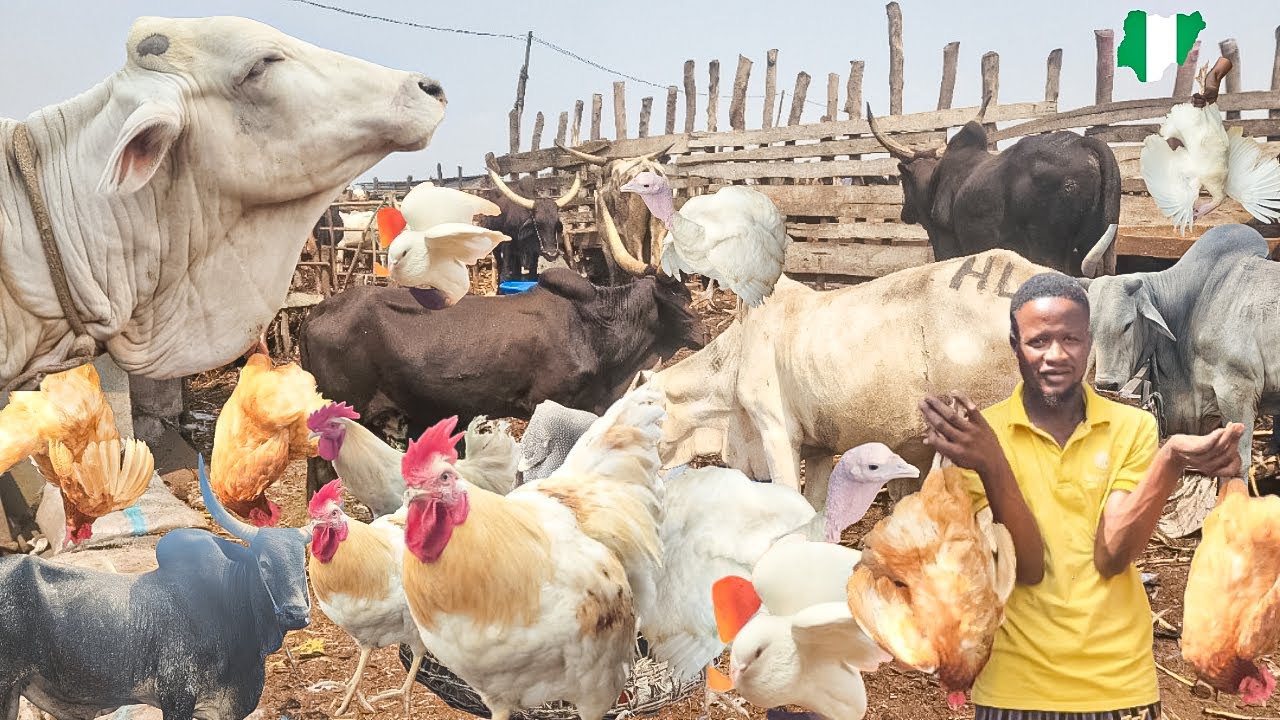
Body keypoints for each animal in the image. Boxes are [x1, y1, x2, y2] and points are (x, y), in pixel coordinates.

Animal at [298, 267, 705, 495]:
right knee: (321, 473)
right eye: (678, 297)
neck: (595, 326)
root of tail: (316, 312)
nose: (703, 332)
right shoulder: (552, 404)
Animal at [555, 141, 673, 285]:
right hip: (658, 227)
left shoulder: (605, 242)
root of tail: (648, 168)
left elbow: (613, 270)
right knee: (655, 259)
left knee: (638, 260)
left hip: (632, 232)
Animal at [866, 96, 1121, 278]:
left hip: (1049, 249)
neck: (933, 183)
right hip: (1098, 247)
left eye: (903, 181)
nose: (904, 213)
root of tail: (1084, 143)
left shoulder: (948, 244)